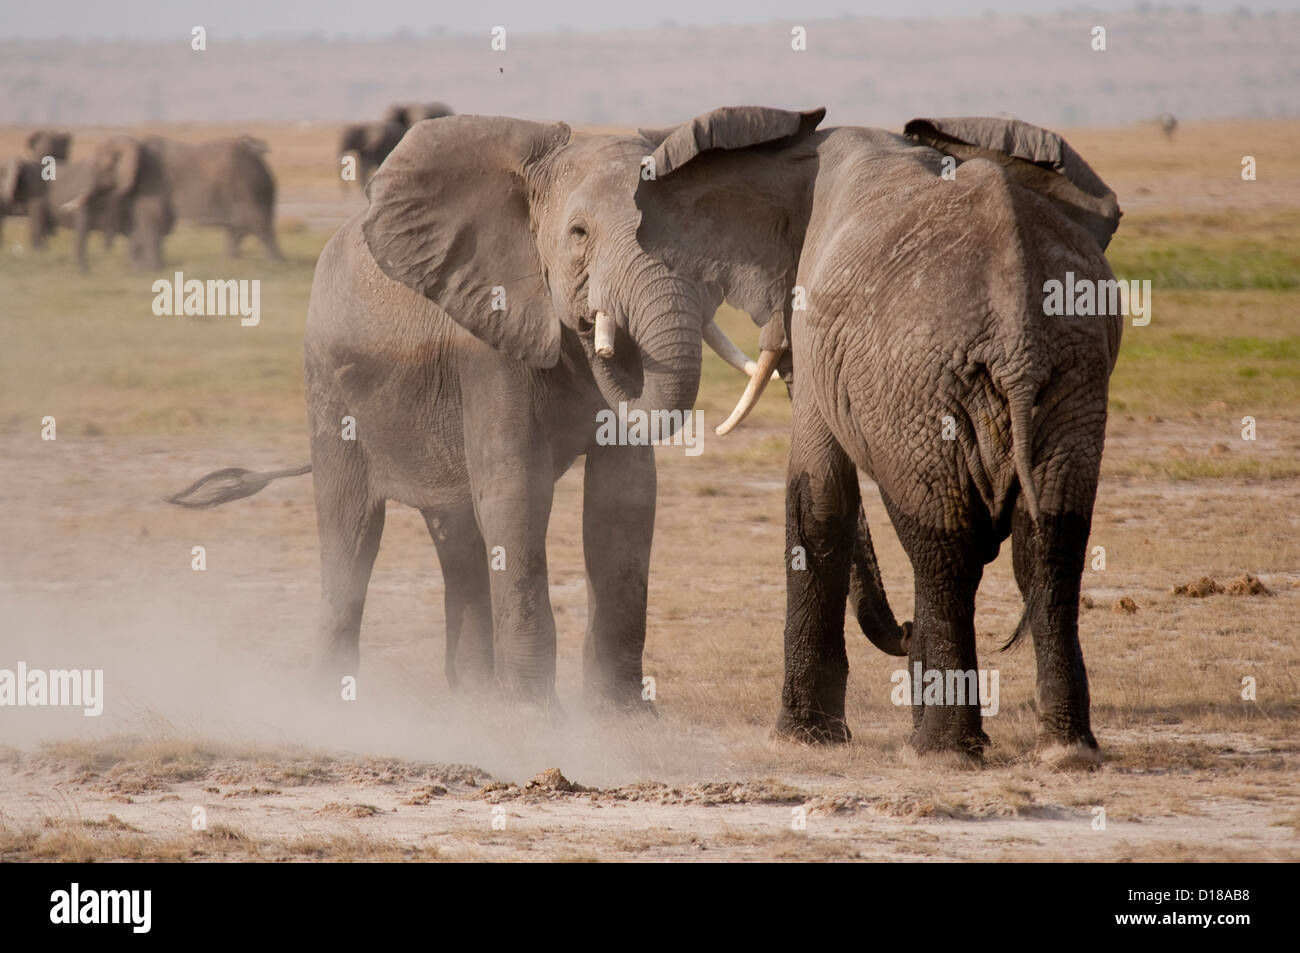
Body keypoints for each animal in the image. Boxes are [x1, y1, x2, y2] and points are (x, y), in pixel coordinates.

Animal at [167, 113, 796, 709]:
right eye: (578, 234)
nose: (598, 329)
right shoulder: (486, 344)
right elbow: (515, 490)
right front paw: (537, 717)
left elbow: (625, 495)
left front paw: (620, 718)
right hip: (327, 381)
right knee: (351, 528)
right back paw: (335, 706)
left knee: (457, 534)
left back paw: (473, 700)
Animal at [633, 107, 1122, 763]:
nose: (905, 634)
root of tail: (1017, 330)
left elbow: (817, 497)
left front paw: (801, 740)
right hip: (1070, 375)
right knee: (1050, 542)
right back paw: (1064, 750)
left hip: (925, 385)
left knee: (943, 547)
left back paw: (939, 751)